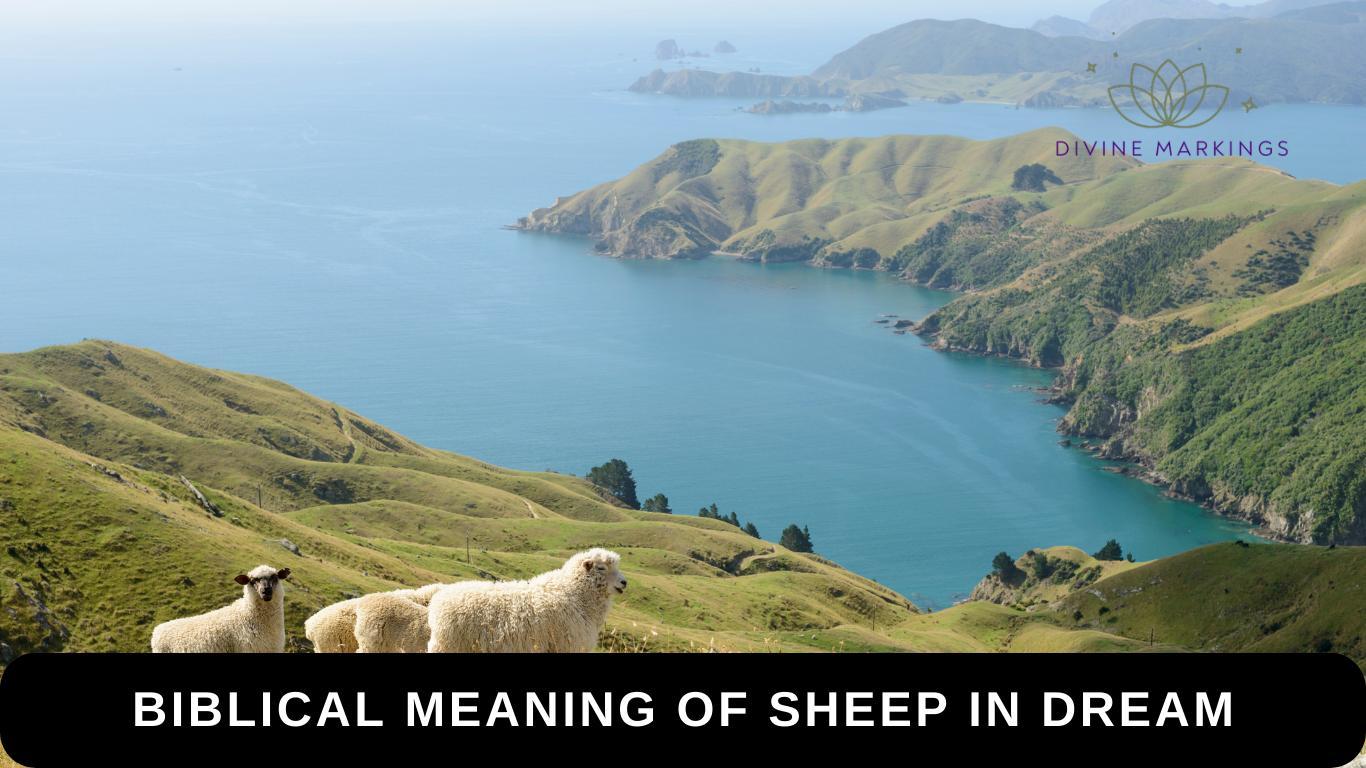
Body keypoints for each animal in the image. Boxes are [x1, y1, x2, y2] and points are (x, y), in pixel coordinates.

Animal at [427, 548, 627, 653]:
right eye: (601, 568)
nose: (624, 582)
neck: (574, 593)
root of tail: (438, 601)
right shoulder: (566, 645)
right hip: (450, 645)